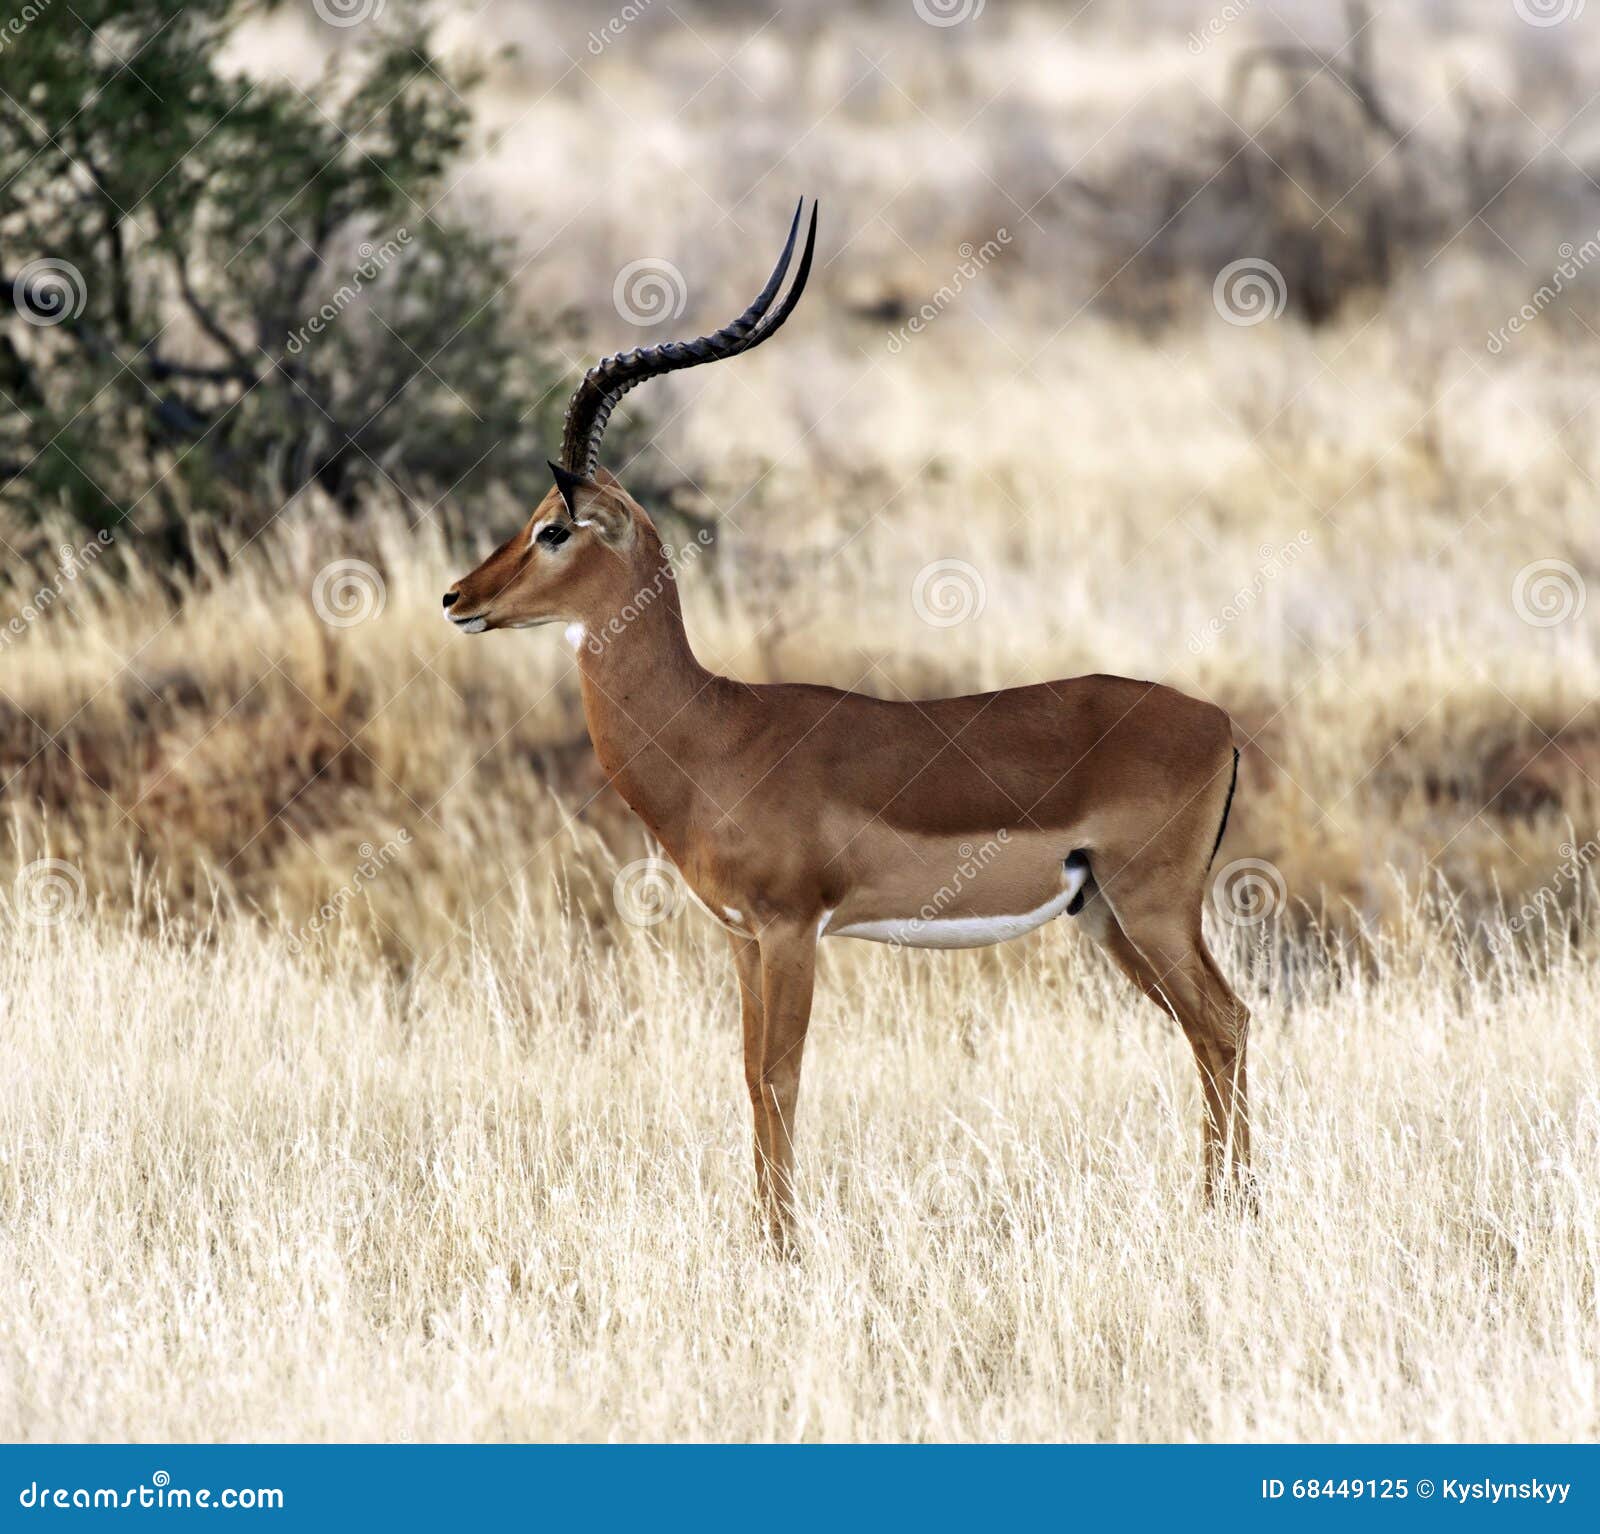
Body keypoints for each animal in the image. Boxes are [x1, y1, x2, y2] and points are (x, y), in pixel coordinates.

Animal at [444, 200, 1250, 1248]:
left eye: (553, 528)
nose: (457, 598)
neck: (713, 731)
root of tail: (1220, 722)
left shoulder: (794, 930)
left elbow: (782, 1078)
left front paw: (785, 1248)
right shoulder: (742, 938)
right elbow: (748, 1078)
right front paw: (760, 1238)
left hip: (1151, 908)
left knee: (1225, 1025)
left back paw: (1233, 1213)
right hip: (1109, 917)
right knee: (1214, 1029)